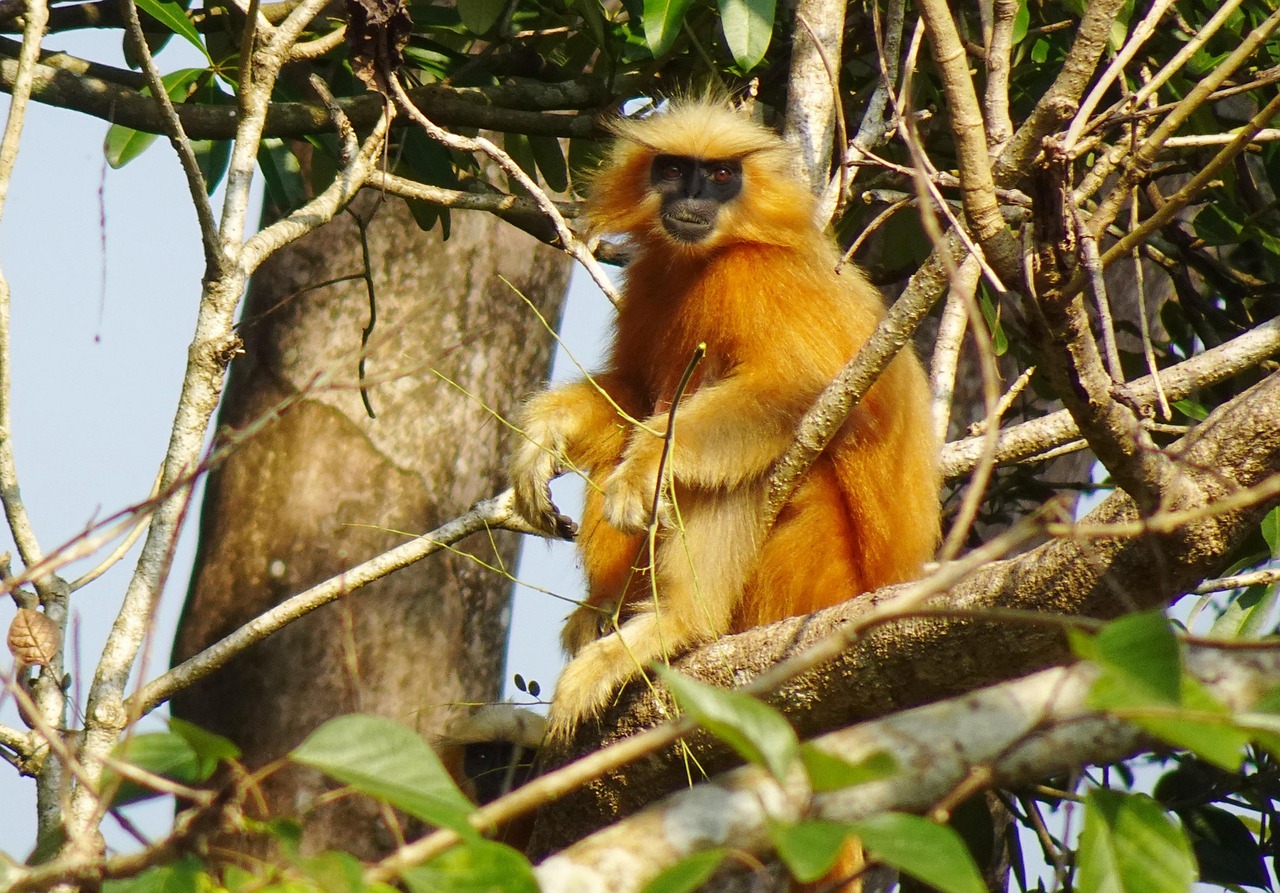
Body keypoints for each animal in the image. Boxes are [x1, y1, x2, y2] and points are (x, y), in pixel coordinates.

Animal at [509, 99, 941, 741]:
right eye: (672, 170)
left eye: (719, 176)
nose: (693, 199)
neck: (709, 255)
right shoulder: (651, 277)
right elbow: (635, 394)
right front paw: (543, 437)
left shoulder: (759, 277)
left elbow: (789, 393)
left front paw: (641, 472)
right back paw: (606, 610)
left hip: (812, 582)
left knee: (737, 468)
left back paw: (676, 622)